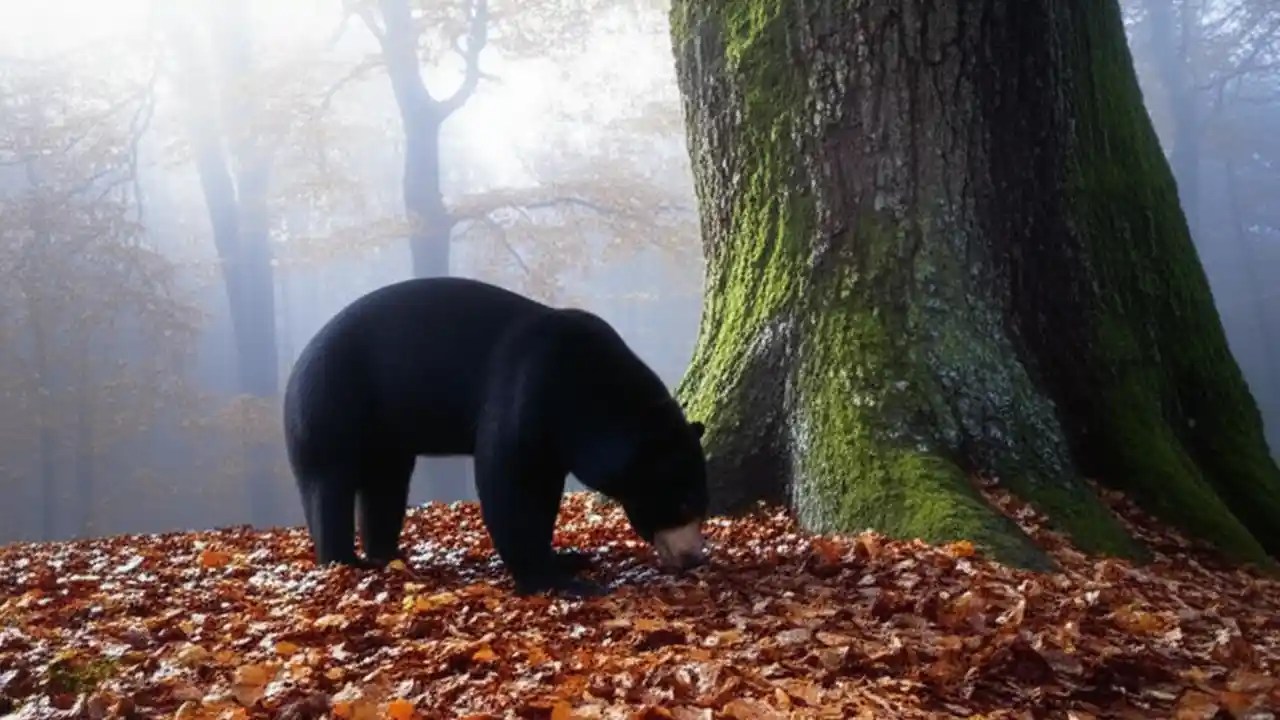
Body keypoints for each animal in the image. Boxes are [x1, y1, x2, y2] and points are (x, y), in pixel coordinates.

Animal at [282, 276, 710, 597]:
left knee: (386, 484)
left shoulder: (557, 439)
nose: (696, 557)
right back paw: (343, 561)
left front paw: (566, 556)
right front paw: (556, 579)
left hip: (384, 431)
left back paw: (387, 554)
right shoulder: (528, 388)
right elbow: (509, 482)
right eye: (683, 503)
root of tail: (298, 361)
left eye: (702, 505)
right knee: (329, 483)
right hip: (332, 402)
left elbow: (544, 492)